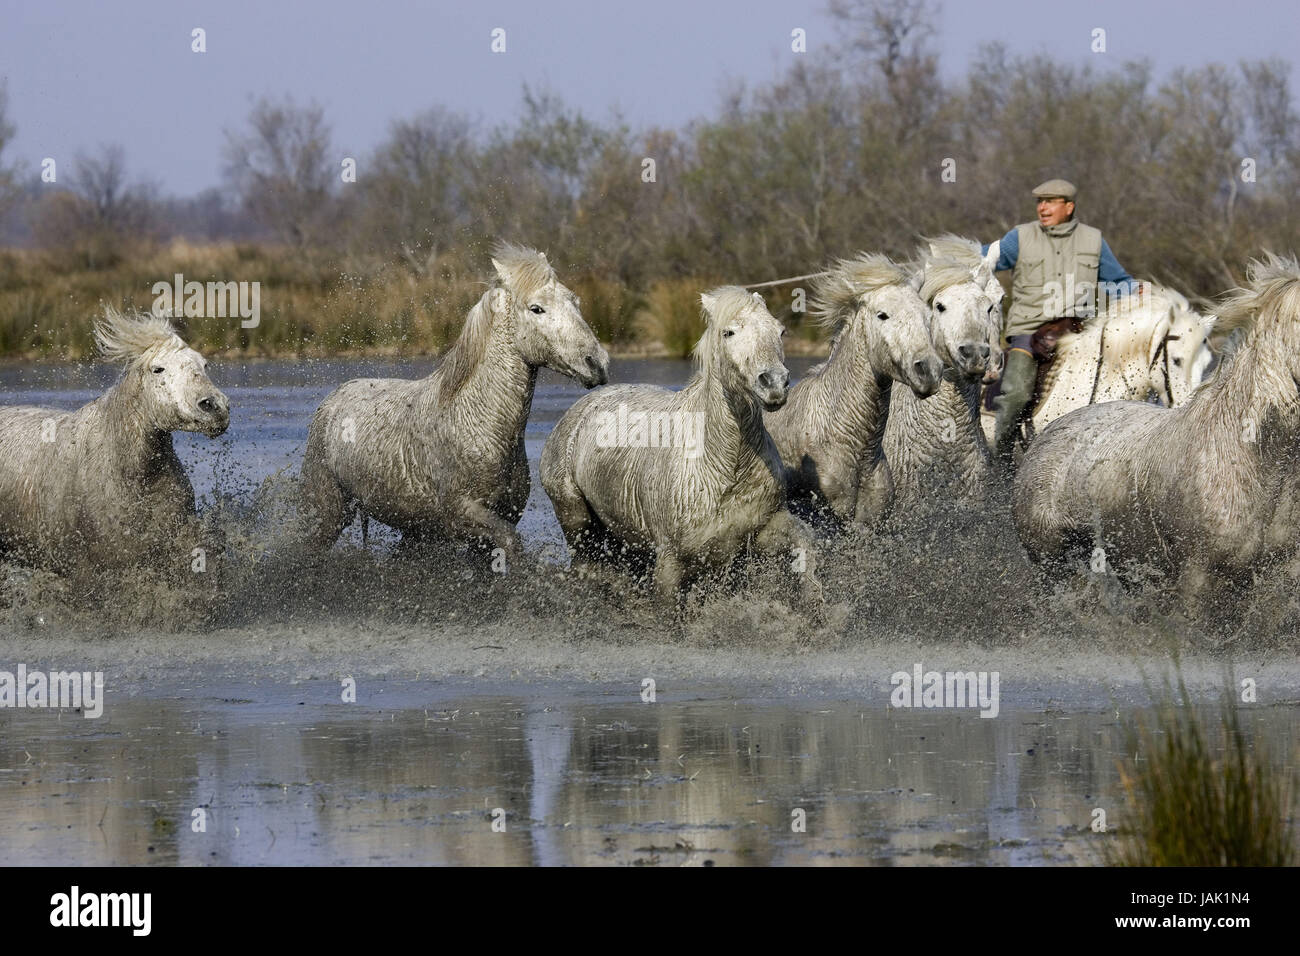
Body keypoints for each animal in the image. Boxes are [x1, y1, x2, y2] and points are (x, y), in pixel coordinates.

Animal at [298, 243, 609, 555]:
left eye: (574, 300)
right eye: (536, 308)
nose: (597, 363)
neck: (477, 422)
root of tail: (333, 399)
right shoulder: (464, 517)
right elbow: (512, 543)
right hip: (327, 514)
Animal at [540, 286, 821, 603]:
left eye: (780, 331)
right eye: (728, 333)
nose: (774, 383)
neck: (727, 467)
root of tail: (582, 407)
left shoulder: (762, 530)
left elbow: (805, 543)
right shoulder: (670, 564)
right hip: (577, 523)